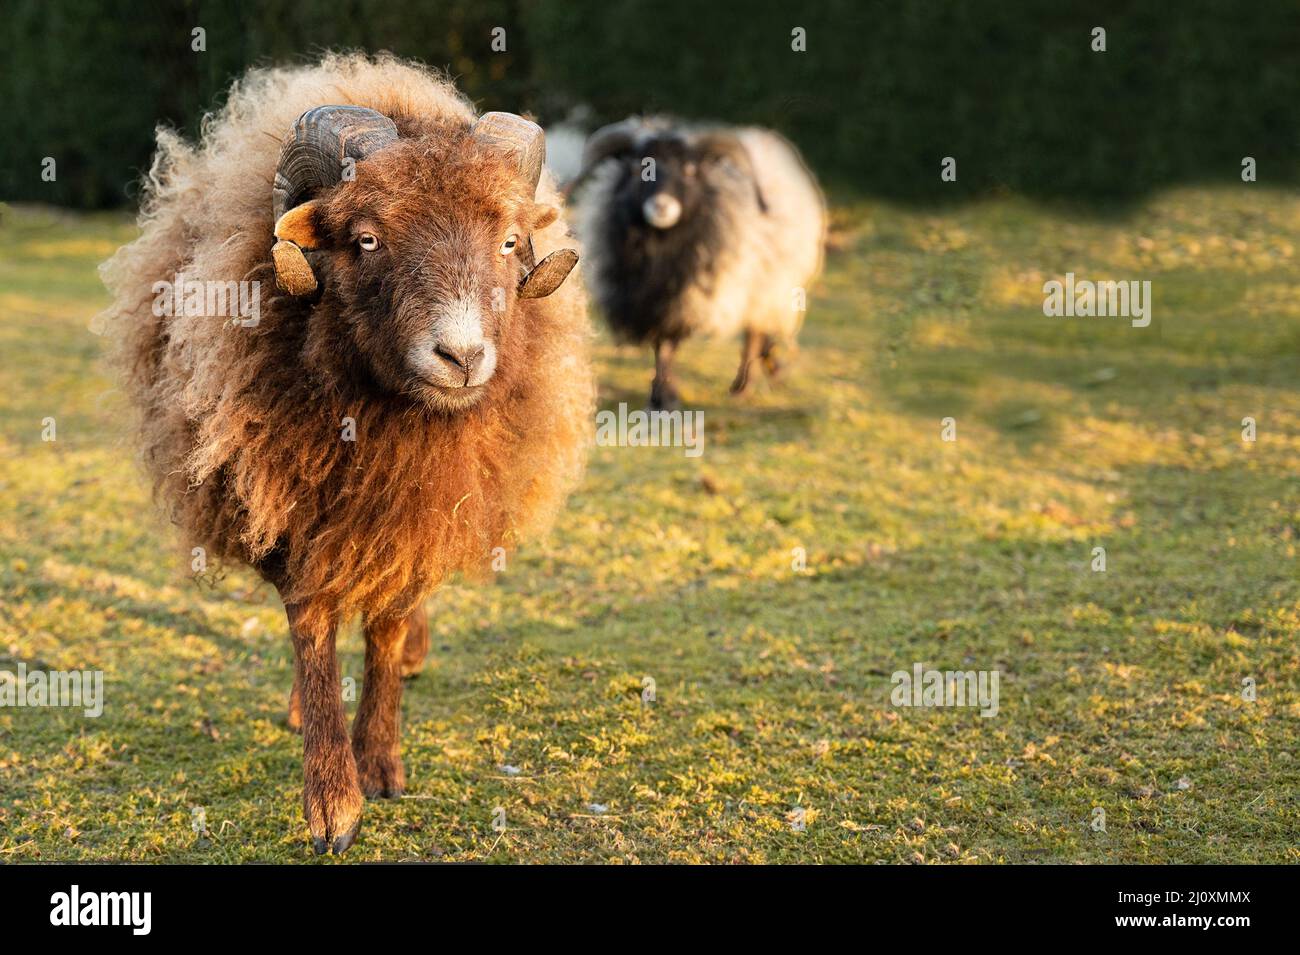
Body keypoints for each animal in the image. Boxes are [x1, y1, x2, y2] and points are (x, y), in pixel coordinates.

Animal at [96, 54, 593, 854]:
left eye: (511, 241)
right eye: (366, 240)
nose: (462, 356)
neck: (394, 430)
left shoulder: (420, 519)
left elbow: (385, 631)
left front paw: (381, 760)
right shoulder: (286, 505)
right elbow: (313, 632)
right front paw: (332, 800)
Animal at [569, 118, 826, 408]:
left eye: (690, 170)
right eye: (636, 169)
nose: (661, 206)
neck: (660, 247)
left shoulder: (684, 297)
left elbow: (670, 342)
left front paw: (666, 398)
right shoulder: (649, 299)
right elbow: (660, 344)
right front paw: (659, 397)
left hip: (766, 282)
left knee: (754, 333)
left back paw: (744, 385)